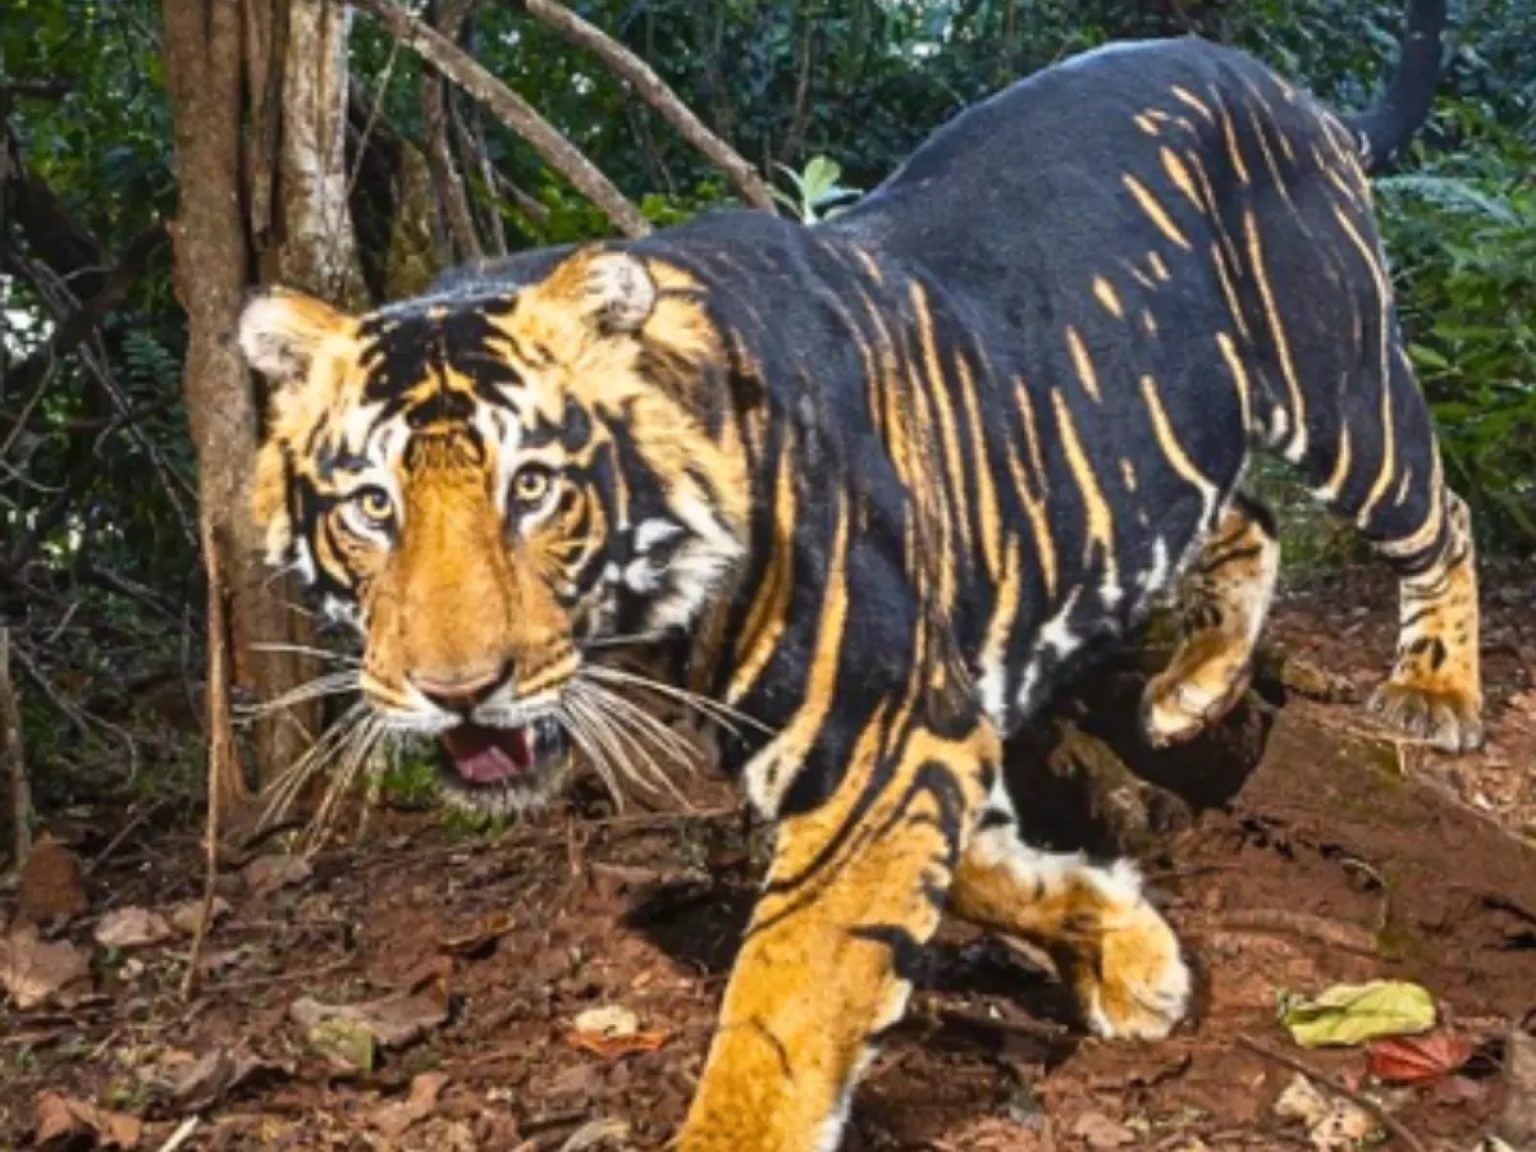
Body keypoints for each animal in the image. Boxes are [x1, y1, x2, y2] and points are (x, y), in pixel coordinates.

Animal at [235, 0, 1479, 1146]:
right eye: (373, 507)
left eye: (534, 489)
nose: (458, 692)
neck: (662, 623)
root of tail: (1284, 88)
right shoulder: (905, 737)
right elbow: (979, 869)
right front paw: (1129, 953)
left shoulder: (882, 739)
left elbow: (785, 1005)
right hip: (1169, 435)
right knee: (1246, 515)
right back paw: (1193, 690)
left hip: (1343, 386)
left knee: (1443, 515)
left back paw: (1435, 692)